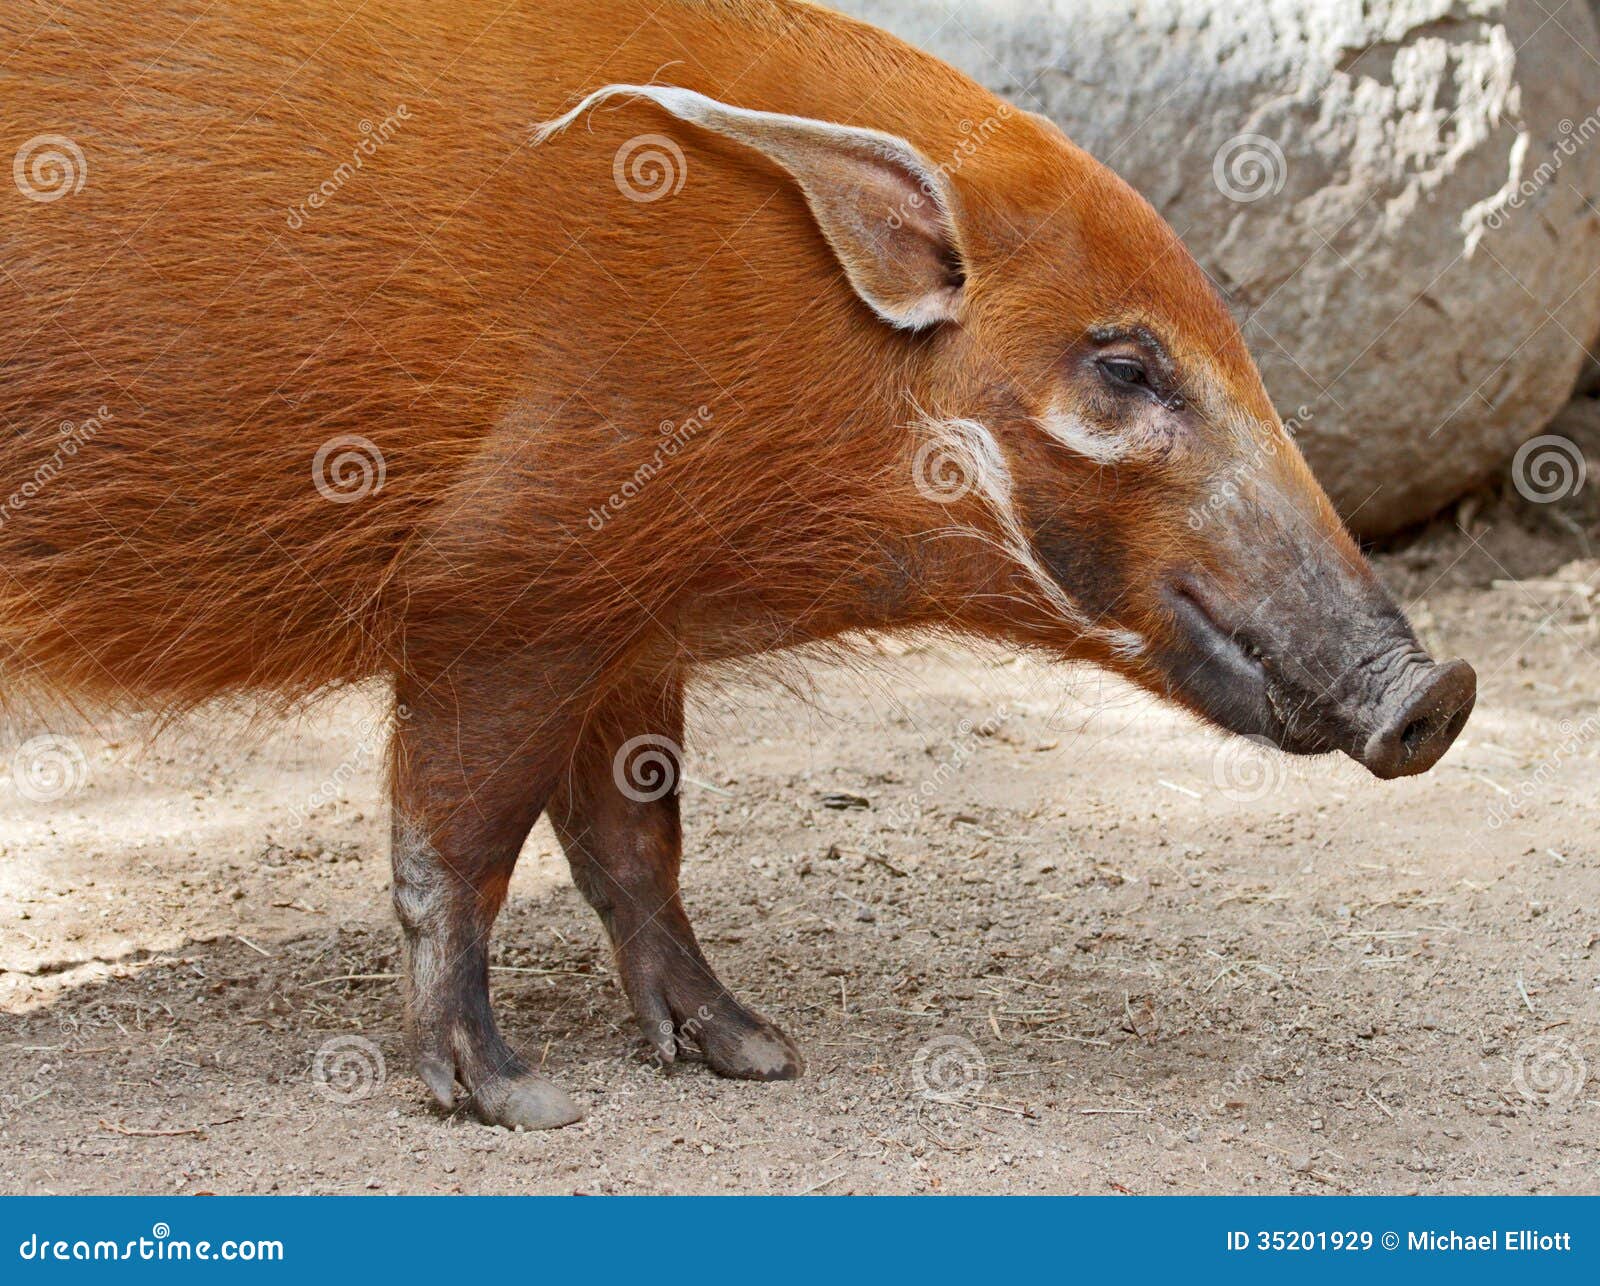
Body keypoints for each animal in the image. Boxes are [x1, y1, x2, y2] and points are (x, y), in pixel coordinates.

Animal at [0, 0, 1474, 1128]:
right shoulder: (501, 594)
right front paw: (518, 1100)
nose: (1439, 694)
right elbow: (456, 846)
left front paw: (756, 1052)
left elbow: (635, 846)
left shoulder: (626, 626)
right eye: (1123, 366)